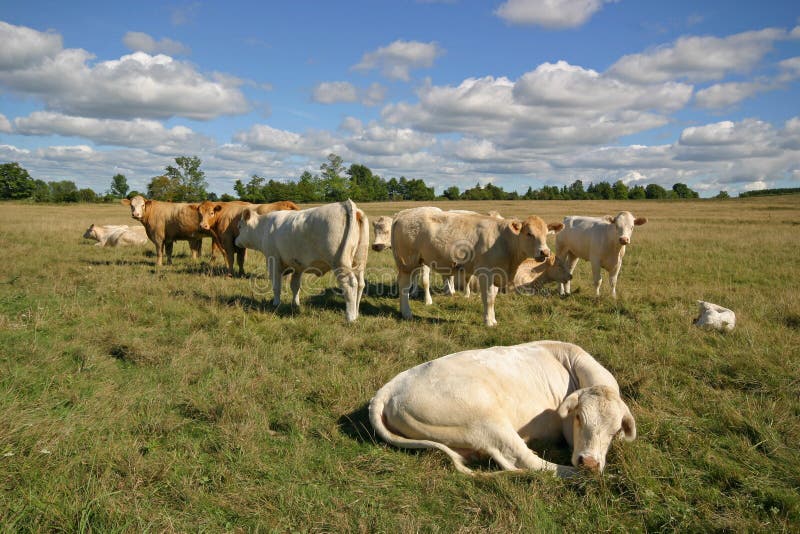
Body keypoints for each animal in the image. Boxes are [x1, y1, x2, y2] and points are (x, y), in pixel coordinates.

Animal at [235, 200, 369, 323]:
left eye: (240, 226)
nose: (236, 241)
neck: (263, 228)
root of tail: (346, 204)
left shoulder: (273, 260)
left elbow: (276, 285)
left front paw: (276, 303)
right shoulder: (298, 266)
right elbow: (295, 286)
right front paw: (295, 304)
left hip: (340, 263)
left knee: (350, 284)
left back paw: (350, 317)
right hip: (359, 262)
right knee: (361, 284)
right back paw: (356, 312)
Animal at [369, 340, 636, 476]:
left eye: (614, 431)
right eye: (579, 417)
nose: (589, 463)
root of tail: (389, 388)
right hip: (487, 421)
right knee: (527, 462)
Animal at [391, 209, 563, 326]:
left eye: (546, 234)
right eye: (529, 233)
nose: (545, 252)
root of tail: (403, 214)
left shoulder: (497, 273)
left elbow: (493, 298)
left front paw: (493, 320)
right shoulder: (485, 273)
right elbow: (487, 298)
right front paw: (488, 322)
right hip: (407, 261)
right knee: (404, 286)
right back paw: (407, 313)